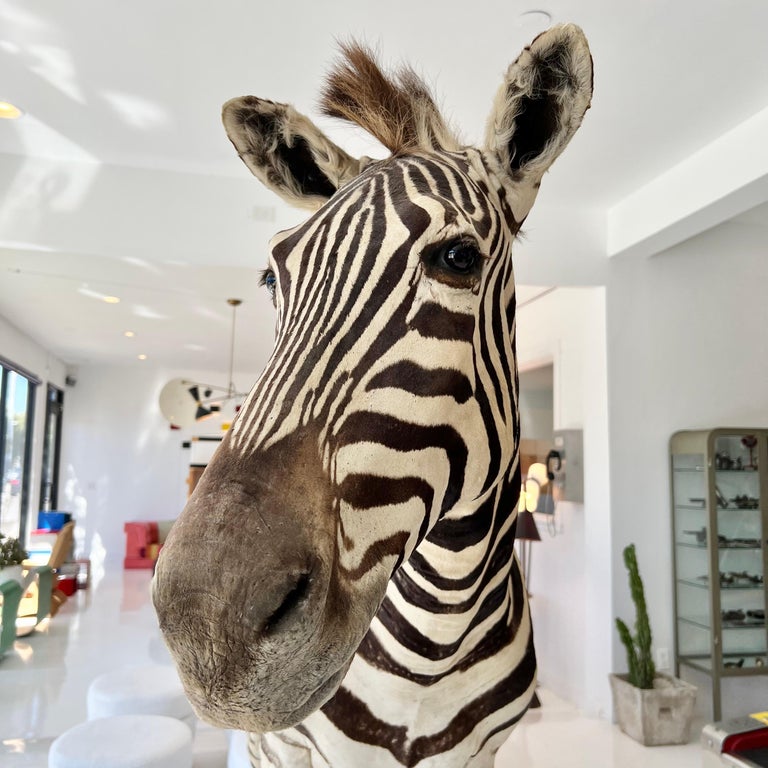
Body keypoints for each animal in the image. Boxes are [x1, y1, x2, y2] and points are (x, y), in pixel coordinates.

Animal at [153, 23, 592, 768]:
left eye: (458, 259)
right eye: (272, 279)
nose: (207, 629)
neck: (436, 638)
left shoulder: (480, 753)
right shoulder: (292, 749)